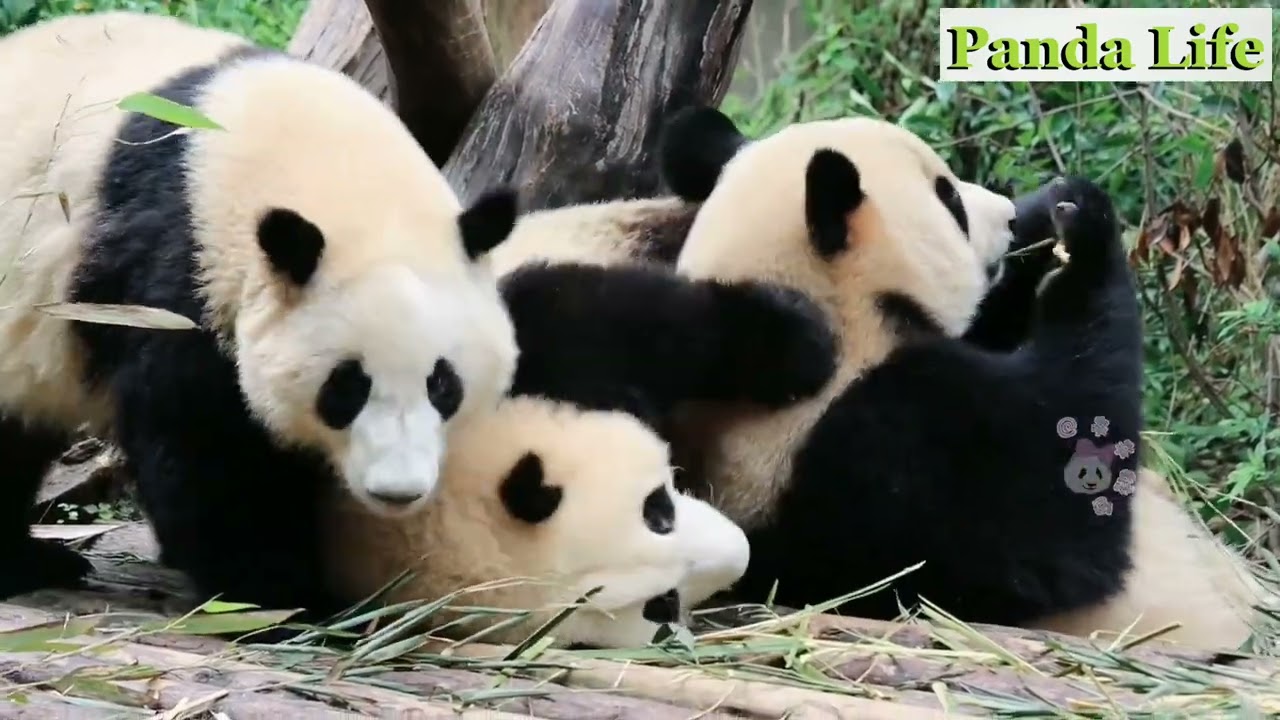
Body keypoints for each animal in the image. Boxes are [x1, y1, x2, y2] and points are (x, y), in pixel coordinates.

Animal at [0, 12, 521, 614]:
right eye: (346, 386)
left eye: (443, 384)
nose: (397, 491)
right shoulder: (175, 275)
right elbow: (204, 449)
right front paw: (288, 599)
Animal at [648, 106, 1271, 650]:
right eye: (948, 198)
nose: (1010, 215)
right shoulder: (893, 440)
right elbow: (1059, 518)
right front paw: (1085, 232)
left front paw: (1050, 210)